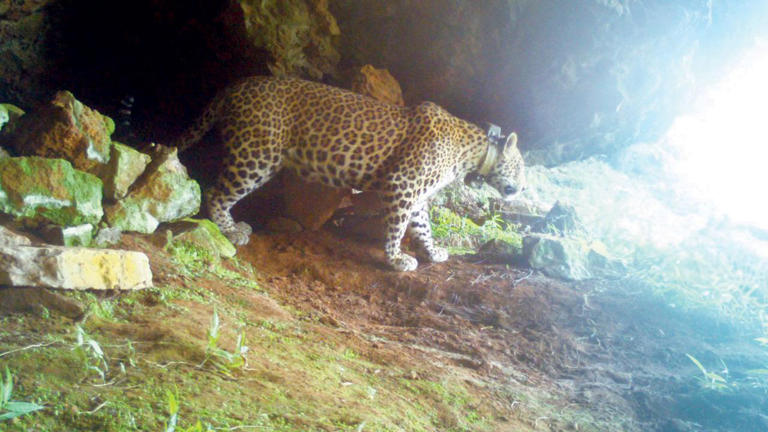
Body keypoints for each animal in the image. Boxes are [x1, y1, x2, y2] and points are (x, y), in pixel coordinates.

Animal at [172, 76, 525, 271]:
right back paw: (230, 230)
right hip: (257, 155)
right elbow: (397, 227)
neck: (473, 152)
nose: (522, 188)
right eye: (521, 168)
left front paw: (432, 251)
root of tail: (236, 85)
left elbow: (423, 226)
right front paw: (396, 259)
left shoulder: (417, 194)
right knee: (215, 191)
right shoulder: (402, 185)